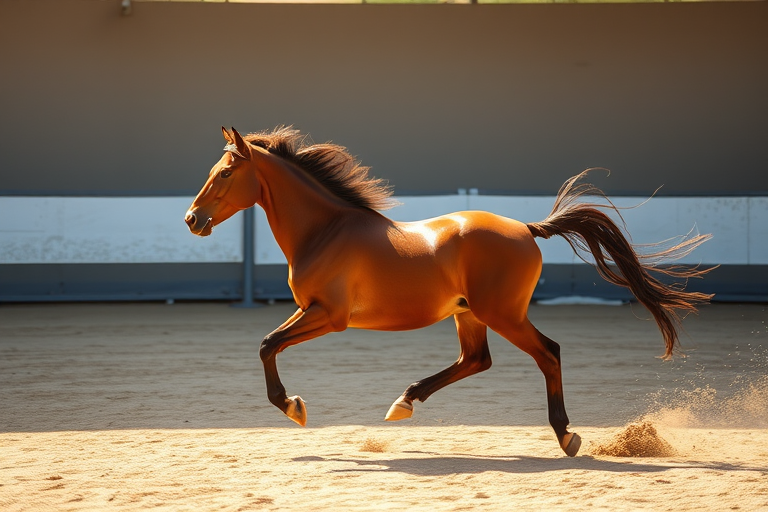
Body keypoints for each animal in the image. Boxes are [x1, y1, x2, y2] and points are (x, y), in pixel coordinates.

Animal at [185, 126, 713, 457]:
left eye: (226, 172)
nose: (192, 219)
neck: (326, 230)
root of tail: (526, 228)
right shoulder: (314, 312)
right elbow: (269, 344)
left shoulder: (328, 315)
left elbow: (267, 344)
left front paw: (293, 407)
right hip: (469, 314)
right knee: (477, 360)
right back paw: (403, 402)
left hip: (503, 314)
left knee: (548, 352)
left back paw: (566, 436)